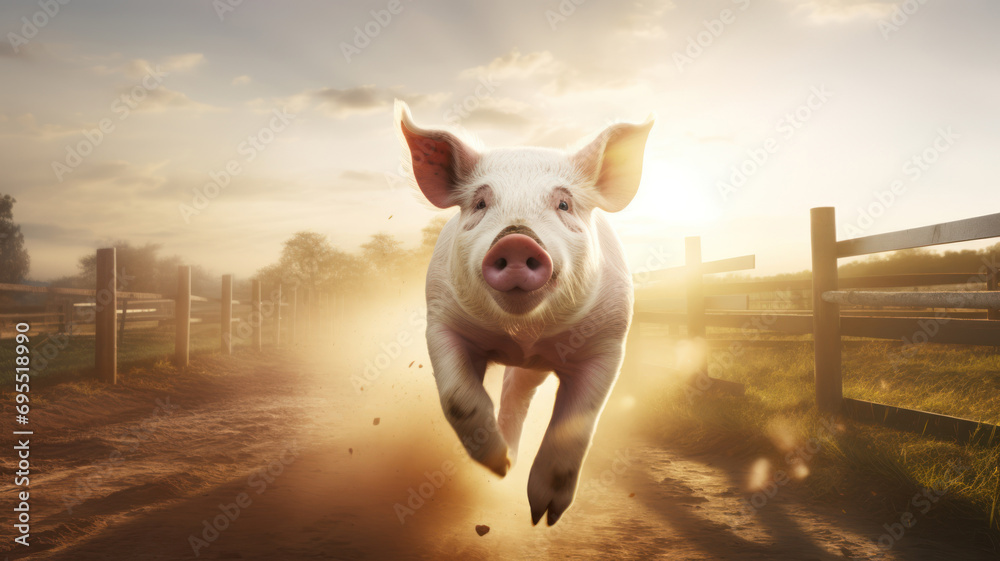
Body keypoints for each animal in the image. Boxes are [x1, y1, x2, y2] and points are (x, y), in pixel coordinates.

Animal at [395, 100, 653, 526]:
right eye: (481, 203)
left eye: (563, 203)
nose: (516, 240)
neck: (522, 333)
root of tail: (524, 352)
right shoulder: (442, 320)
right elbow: (457, 398)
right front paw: (497, 466)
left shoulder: (609, 340)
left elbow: (576, 425)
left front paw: (544, 517)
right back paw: (507, 463)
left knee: (517, 389)